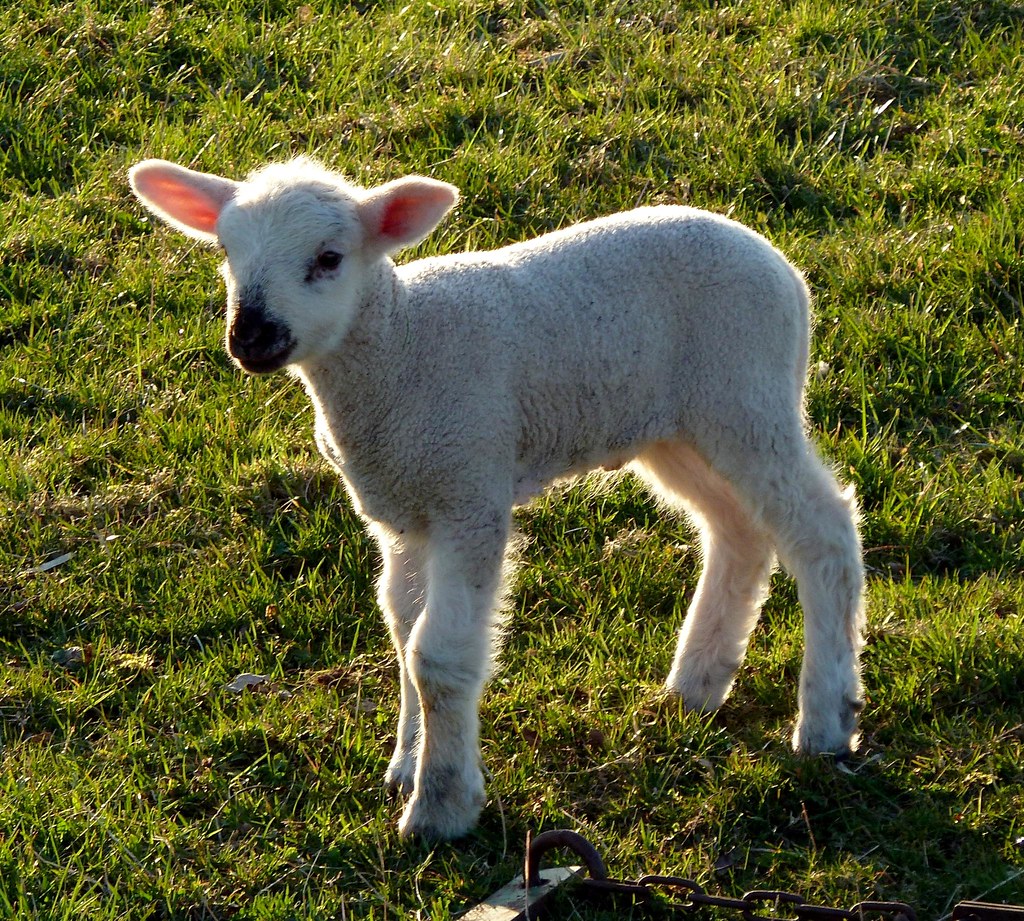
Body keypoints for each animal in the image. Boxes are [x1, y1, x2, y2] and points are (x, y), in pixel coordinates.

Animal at [128, 156, 866, 841]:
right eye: (228, 253)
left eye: (328, 259)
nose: (250, 336)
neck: (399, 348)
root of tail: (781, 268)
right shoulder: (404, 510)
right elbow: (403, 628)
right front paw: (408, 762)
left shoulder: (468, 492)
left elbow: (438, 655)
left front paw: (441, 805)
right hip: (678, 426)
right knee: (737, 531)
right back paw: (697, 685)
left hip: (746, 395)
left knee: (823, 533)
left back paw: (825, 720)